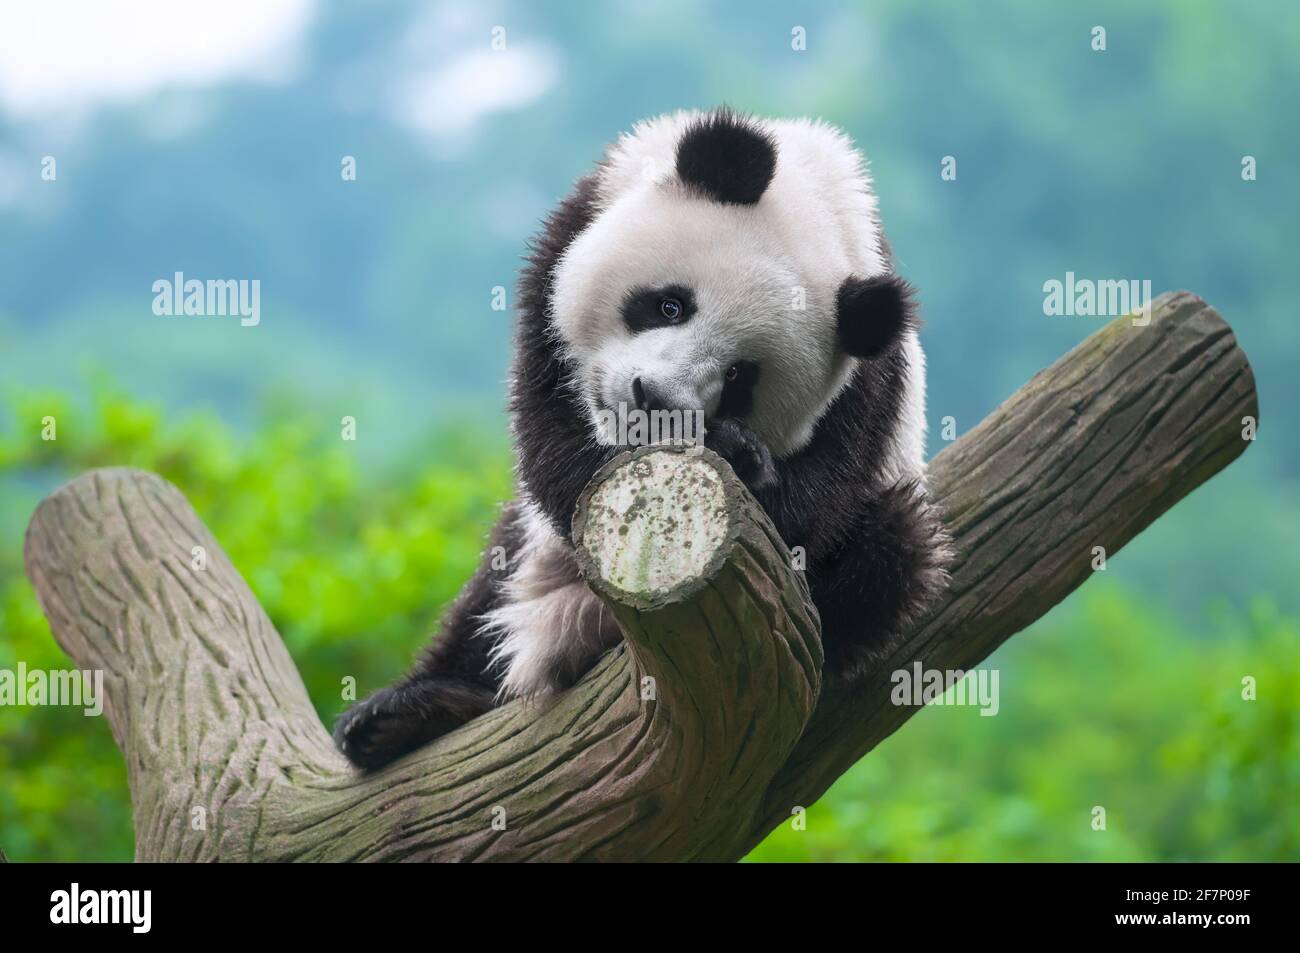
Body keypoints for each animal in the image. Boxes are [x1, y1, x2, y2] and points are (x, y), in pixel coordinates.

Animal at [334, 108, 952, 770]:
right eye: (669, 305)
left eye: (741, 377)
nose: (650, 398)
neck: (817, 195)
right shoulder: (575, 230)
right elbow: (554, 442)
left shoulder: (869, 389)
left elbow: (807, 514)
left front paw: (738, 455)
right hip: (531, 558)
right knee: (491, 587)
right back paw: (405, 714)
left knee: (894, 550)